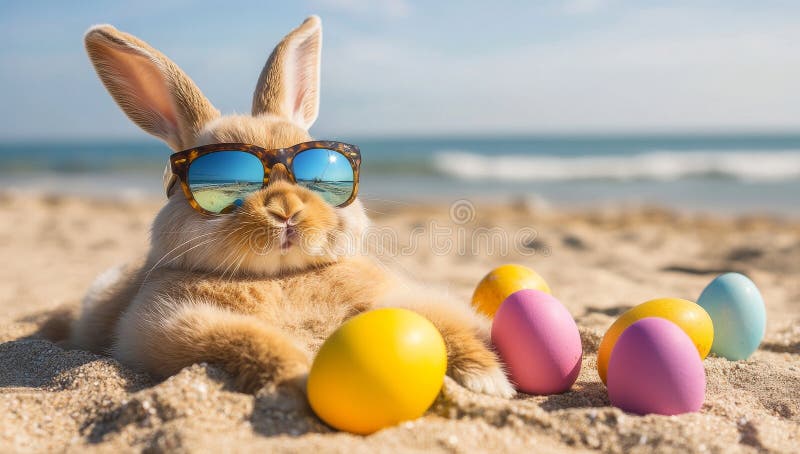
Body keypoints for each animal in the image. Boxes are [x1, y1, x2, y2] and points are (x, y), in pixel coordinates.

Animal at [69, 16, 514, 399]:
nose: (286, 209)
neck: (281, 276)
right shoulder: (168, 322)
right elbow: (248, 339)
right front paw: (299, 377)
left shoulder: (398, 296)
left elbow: (443, 321)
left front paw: (487, 380)